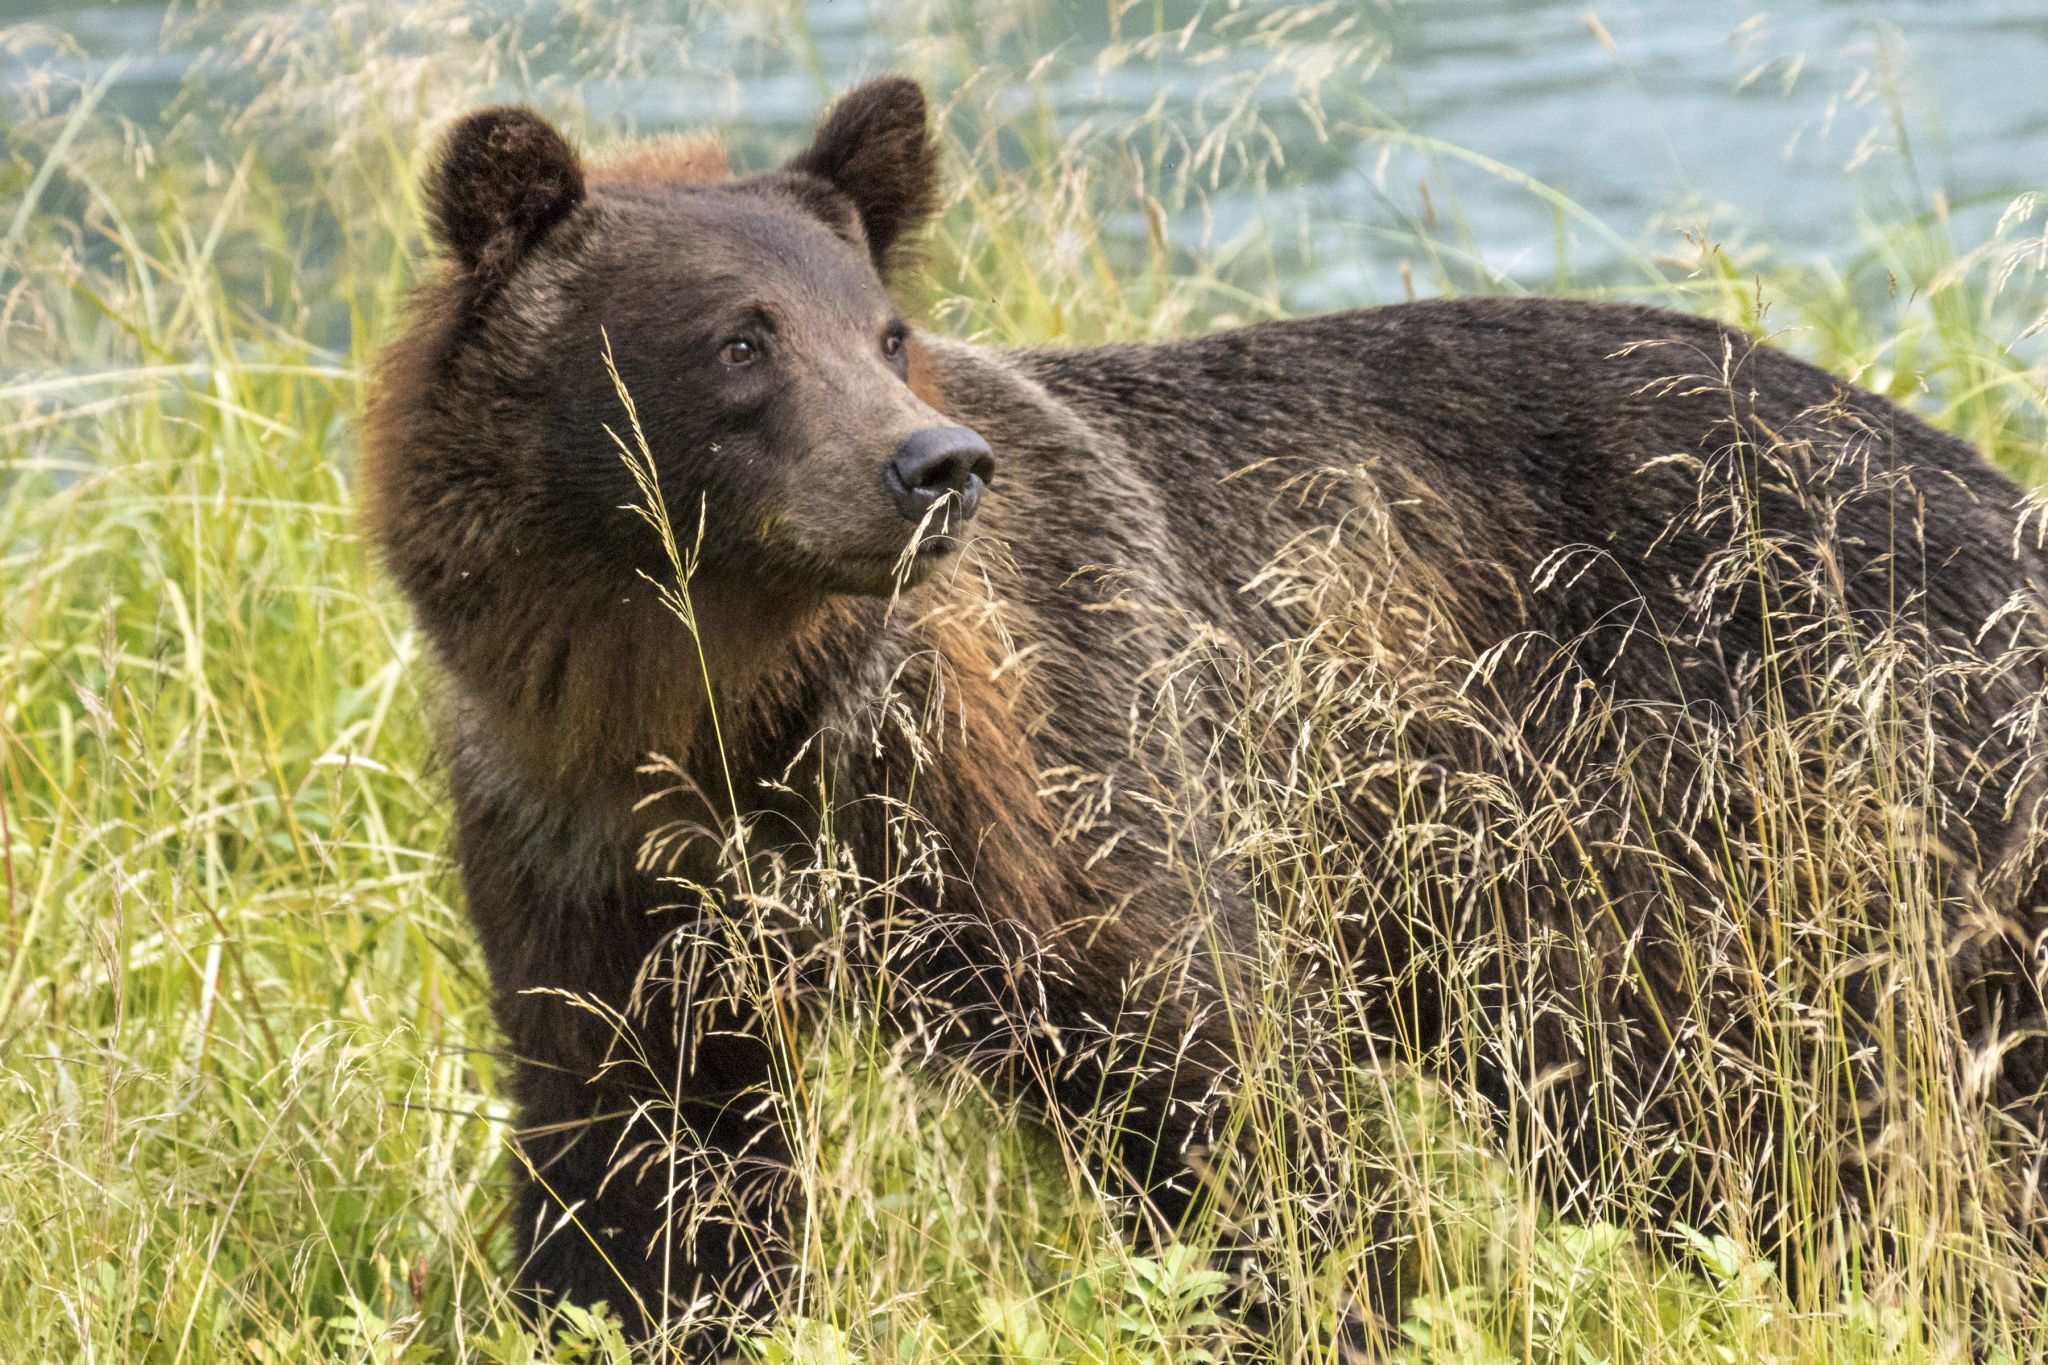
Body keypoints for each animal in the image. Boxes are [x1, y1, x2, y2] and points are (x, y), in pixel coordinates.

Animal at [363, 77, 2048, 1354]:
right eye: (740, 337)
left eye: (884, 331)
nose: (934, 466)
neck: (720, 699)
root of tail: (1989, 494)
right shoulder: (594, 849)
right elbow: (640, 1154)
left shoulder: (1060, 764)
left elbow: (1224, 1082)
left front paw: (1317, 1294)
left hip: (1763, 802)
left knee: (1806, 1116)